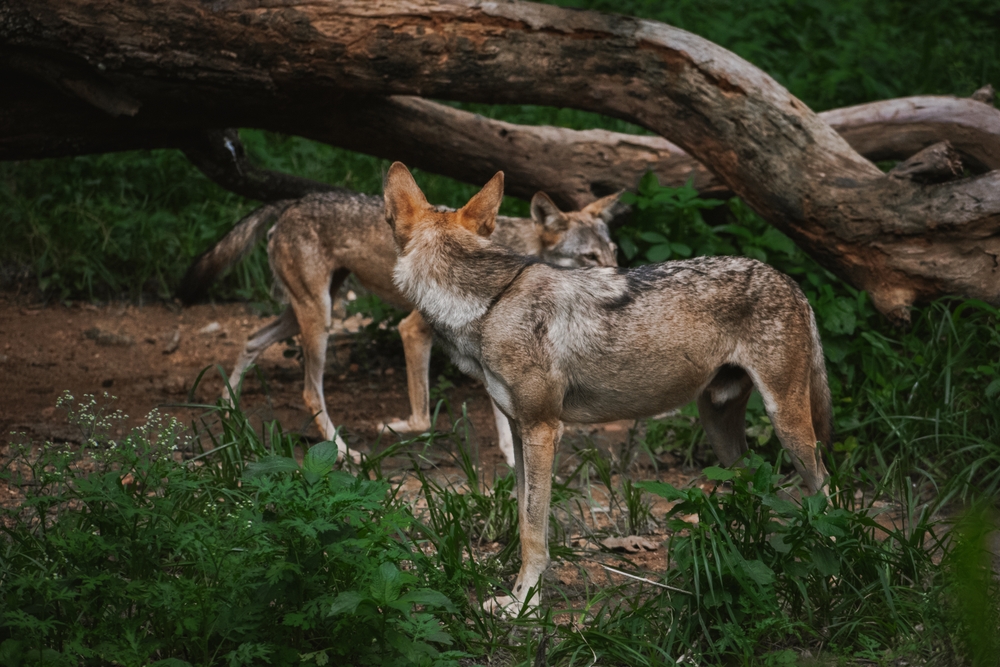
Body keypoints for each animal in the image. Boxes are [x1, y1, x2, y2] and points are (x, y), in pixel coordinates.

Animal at [179, 188, 621, 463]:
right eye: (589, 256)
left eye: (612, 250)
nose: (620, 276)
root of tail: (293, 200)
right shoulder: (413, 330)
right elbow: (423, 416)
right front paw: (398, 428)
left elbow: (503, 412)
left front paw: (513, 459)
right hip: (319, 321)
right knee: (309, 392)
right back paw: (344, 452)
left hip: (304, 314)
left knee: (251, 340)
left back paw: (227, 407)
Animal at [383, 162, 832, 614]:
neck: (492, 305)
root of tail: (790, 281)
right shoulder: (519, 429)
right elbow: (524, 520)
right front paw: (517, 596)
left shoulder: (544, 430)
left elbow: (534, 530)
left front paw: (525, 605)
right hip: (720, 429)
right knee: (756, 491)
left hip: (787, 424)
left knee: (825, 490)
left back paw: (828, 574)